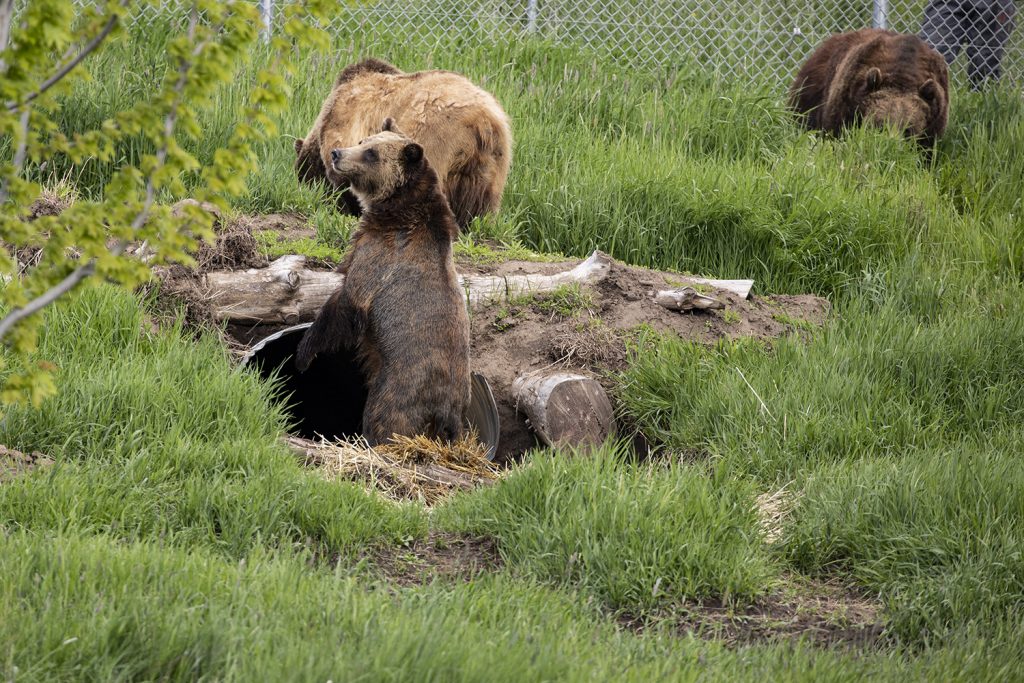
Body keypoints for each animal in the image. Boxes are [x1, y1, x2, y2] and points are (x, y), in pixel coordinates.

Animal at [294, 118, 471, 446]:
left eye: (371, 153)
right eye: (364, 140)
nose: (337, 153)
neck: (397, 209)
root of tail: (445, 410)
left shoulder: (379, 258)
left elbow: (345, 301)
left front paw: (304, 353)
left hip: (397, 386)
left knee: (383, 417)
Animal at [789, 29, 949, 150]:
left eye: (907, 130)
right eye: (882, 125)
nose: (891, 145)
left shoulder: (935, 119)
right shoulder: (847, 100)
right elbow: (836, 133)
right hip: (811, 90)